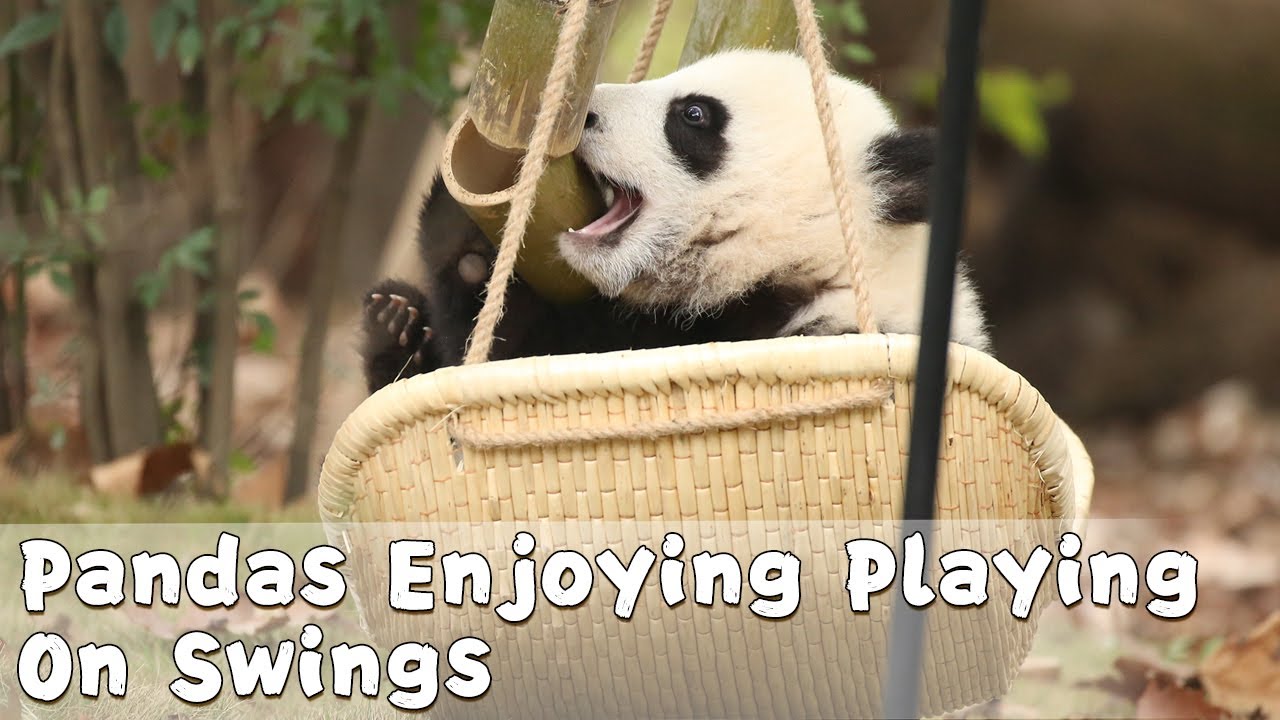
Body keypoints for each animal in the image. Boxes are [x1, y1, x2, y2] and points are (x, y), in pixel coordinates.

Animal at [360, 49, 989, 394]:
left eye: (693, 114)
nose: (586, 114)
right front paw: (402, 315)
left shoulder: (769, 336)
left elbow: (527, 354)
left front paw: (460, 243)